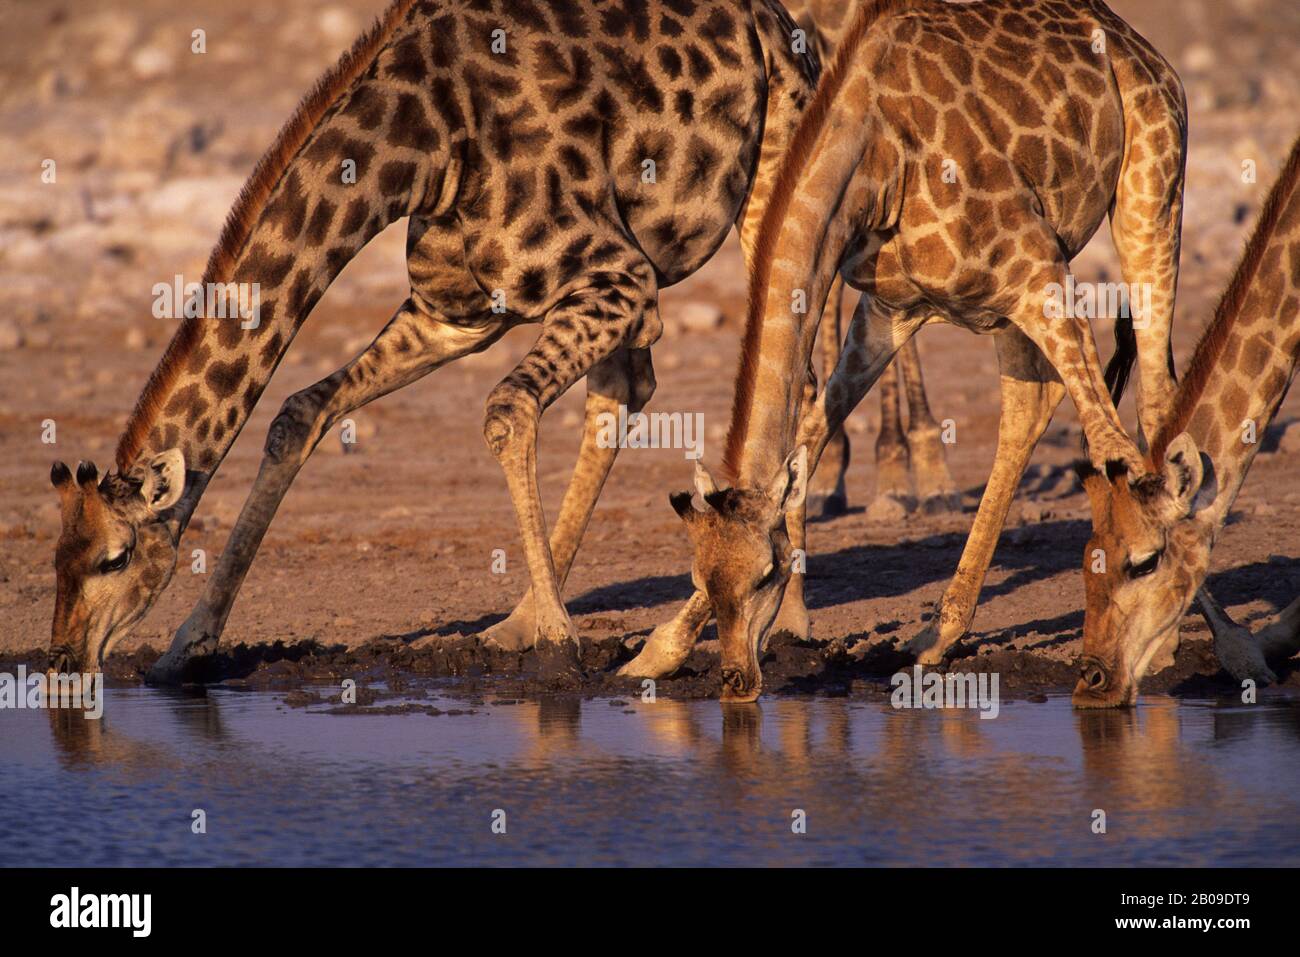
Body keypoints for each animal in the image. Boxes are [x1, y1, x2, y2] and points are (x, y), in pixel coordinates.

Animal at [45, 0, 820, 683]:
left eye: (114, 557)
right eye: (57, 556)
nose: (61, 659)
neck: (423, 149)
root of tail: (778, 19)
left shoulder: (617, 277)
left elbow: (507, 409)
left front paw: (560, 644)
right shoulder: (456, 315)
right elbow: (300, 410)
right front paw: (188, 646)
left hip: (774, 184)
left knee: (799, 372)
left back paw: (771, 618)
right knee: (630, 391)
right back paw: (524, 621)